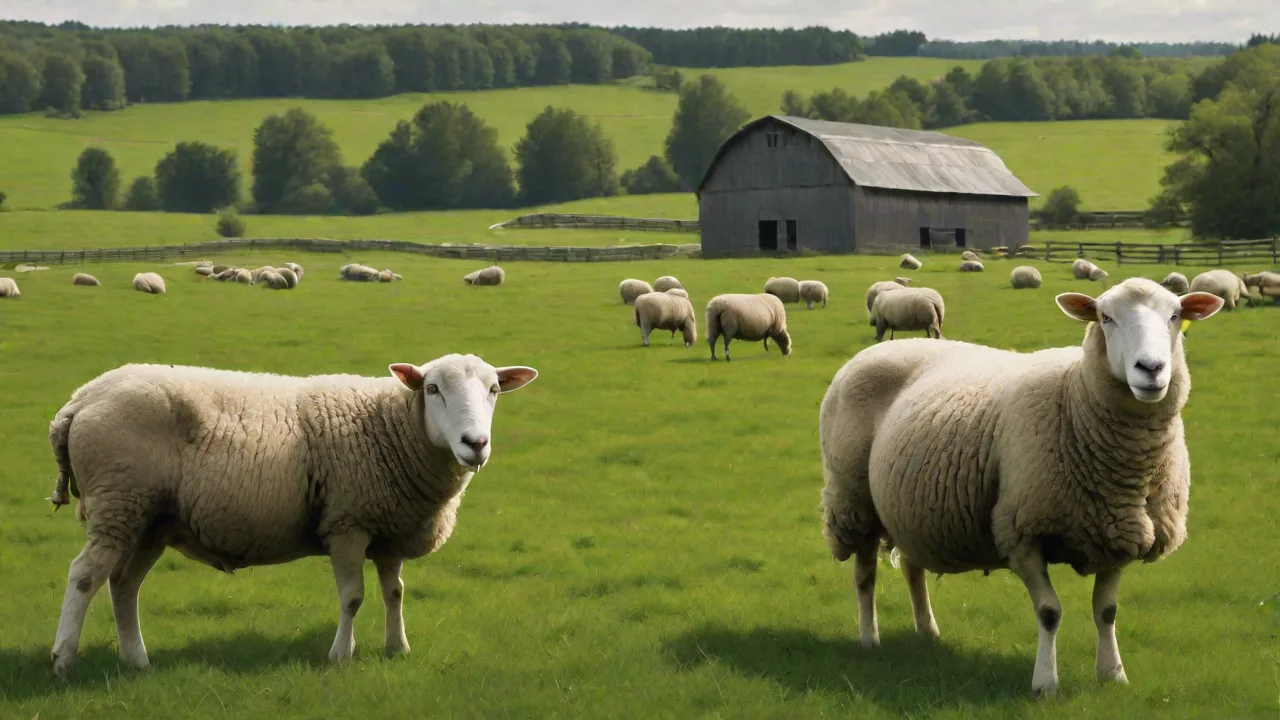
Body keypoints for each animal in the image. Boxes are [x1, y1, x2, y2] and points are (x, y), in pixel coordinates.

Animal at [45, 354, 540, 679]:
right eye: (433, 389)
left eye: (494, 390)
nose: (476, 444)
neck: (394, 427)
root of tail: (79, 401)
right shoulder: (346, 522)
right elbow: (353, 597)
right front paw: (340, 656)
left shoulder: (387, 528)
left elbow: (394, 593)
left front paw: (397, 648)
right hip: (119, 500)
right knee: (85, 575)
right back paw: (63, 659)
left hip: (149, 519)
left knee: (123, 584)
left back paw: (137, 660)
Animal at [818, 278, 1225, 697]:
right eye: (1105, 317)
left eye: (1175, 316)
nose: (1151, 369)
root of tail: (877, 349)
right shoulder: (1021, 530)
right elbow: (1049, 612)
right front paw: (1045, 682)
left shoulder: (1118, 532)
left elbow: (1107, 611)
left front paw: (1112, 674)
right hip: (853, 499)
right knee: (865, 574)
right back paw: (869, 639)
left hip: (909, 507)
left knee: (914, 569)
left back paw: (927, 631)